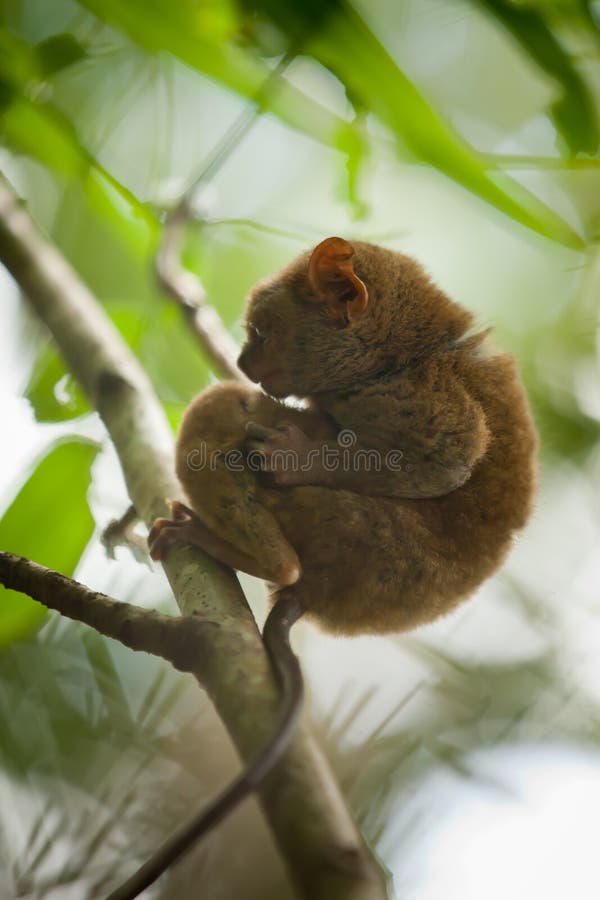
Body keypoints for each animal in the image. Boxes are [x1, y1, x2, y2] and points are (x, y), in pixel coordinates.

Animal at [113, 237, 537, 898]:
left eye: (263, 332)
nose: (241, 357)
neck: (404, 353)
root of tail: (317, 594)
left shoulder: (415, 397)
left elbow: (447, 458)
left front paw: (292, 456)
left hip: (345, 524)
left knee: (227, 412)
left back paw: (245, 548)